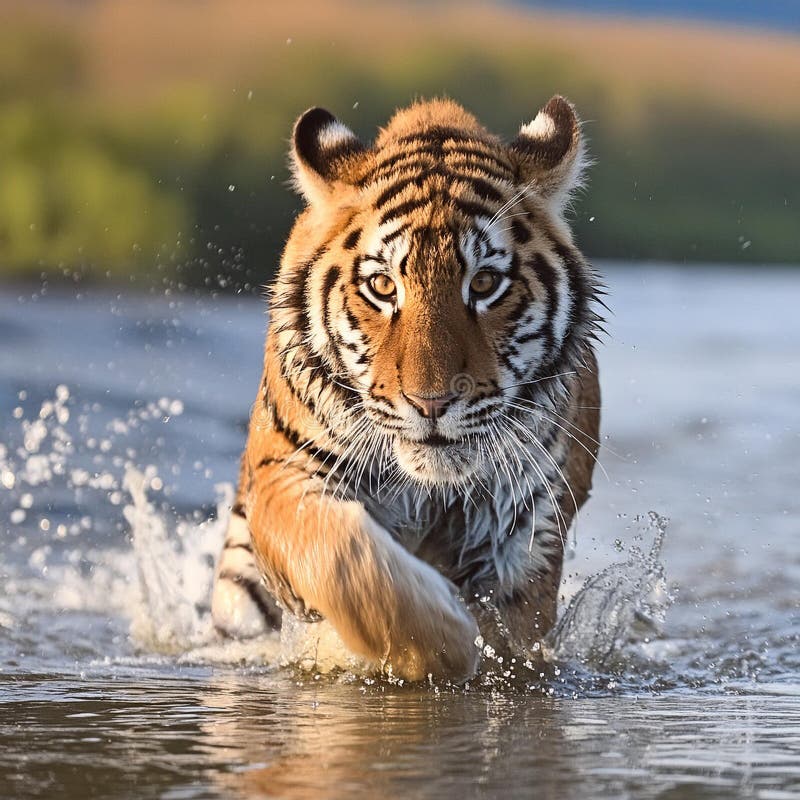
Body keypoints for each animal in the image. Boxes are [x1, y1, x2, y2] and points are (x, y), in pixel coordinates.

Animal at [210, 96, 602, 683]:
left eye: (484, 284)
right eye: (382, 285)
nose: (431, 403)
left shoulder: (527, 522)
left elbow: (510, 638)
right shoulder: (287, 473)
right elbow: (344, 556)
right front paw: (445, 643)